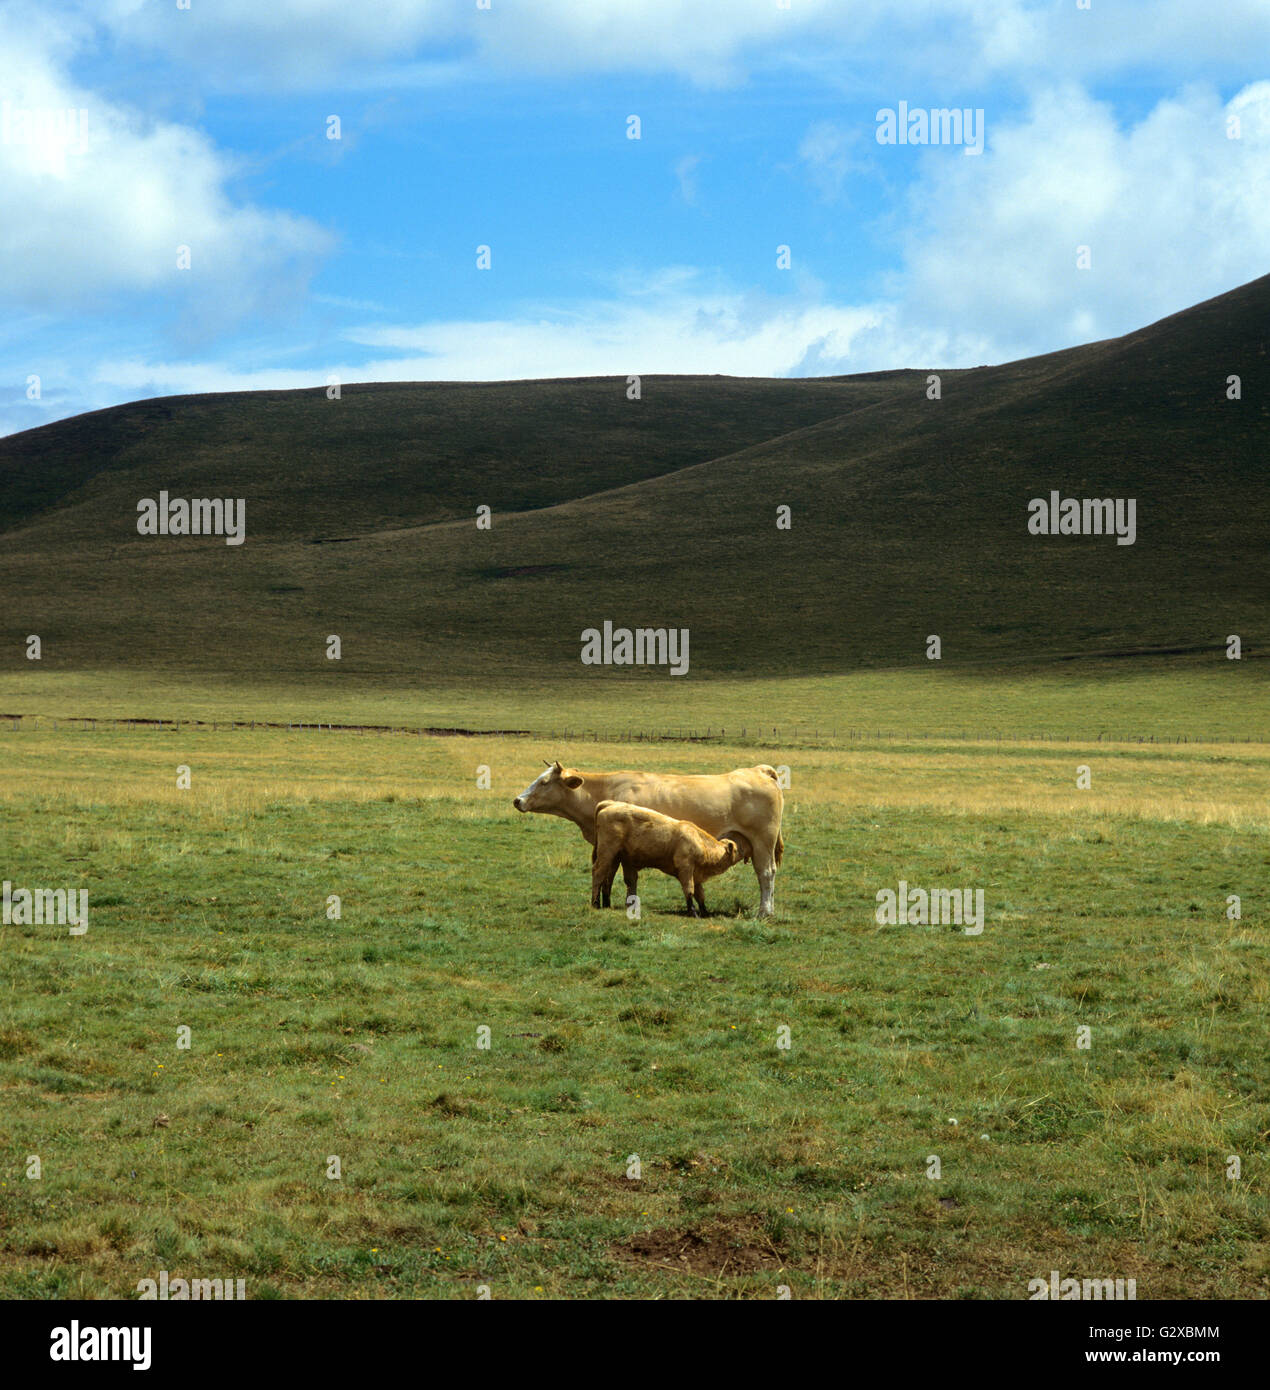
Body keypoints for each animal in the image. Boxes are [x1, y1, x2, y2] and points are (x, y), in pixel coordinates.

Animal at [591, 800, 741, 916]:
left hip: (616, 857)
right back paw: (595, 904)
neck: (699, 841)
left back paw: (607, 904)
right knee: (598, 873)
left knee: (608, 878)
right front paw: (693, 912)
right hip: (607, 852)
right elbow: (689, 890)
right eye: (736, 849)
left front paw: (704, 911)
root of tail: (609, 804)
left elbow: (700, 894)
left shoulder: (696, 874)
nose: (743, 855)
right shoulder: (685, 869)